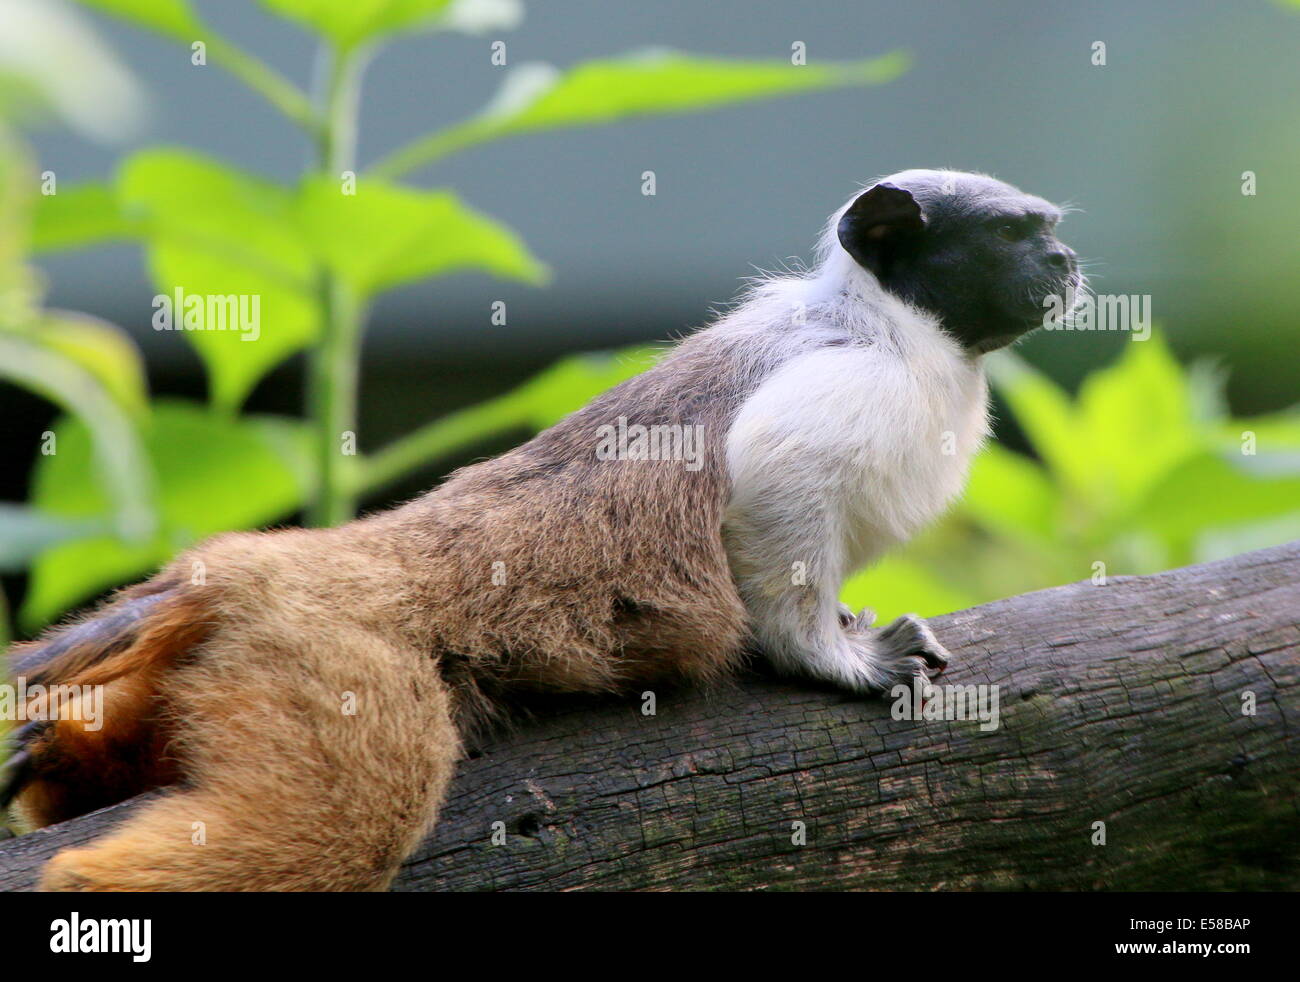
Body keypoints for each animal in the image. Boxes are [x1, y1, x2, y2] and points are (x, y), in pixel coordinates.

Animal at [0, 169, 1079, 891]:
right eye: (1016, 233)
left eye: (1049, 233)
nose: (1068, 262)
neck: (886, 330)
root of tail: (250, 567)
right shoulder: (836, 394)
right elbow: (775, 491)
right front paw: (832, 656)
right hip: (337, 657)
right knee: (336, 827)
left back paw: (66, 758)